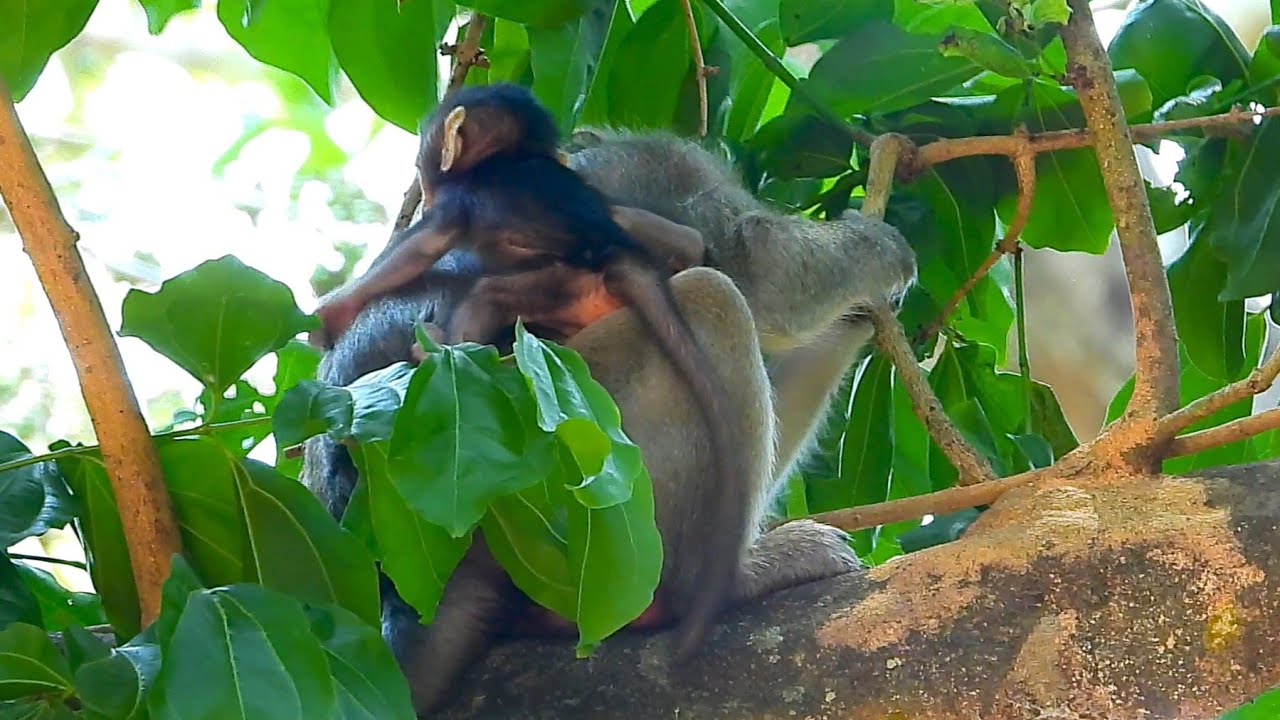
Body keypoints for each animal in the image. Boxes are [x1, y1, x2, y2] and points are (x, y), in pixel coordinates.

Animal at [300, 128, 917, 716]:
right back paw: (713, 586)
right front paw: (883, 248)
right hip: (551, 479)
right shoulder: (657, 172)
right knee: (708, 296)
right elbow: (759, 268)